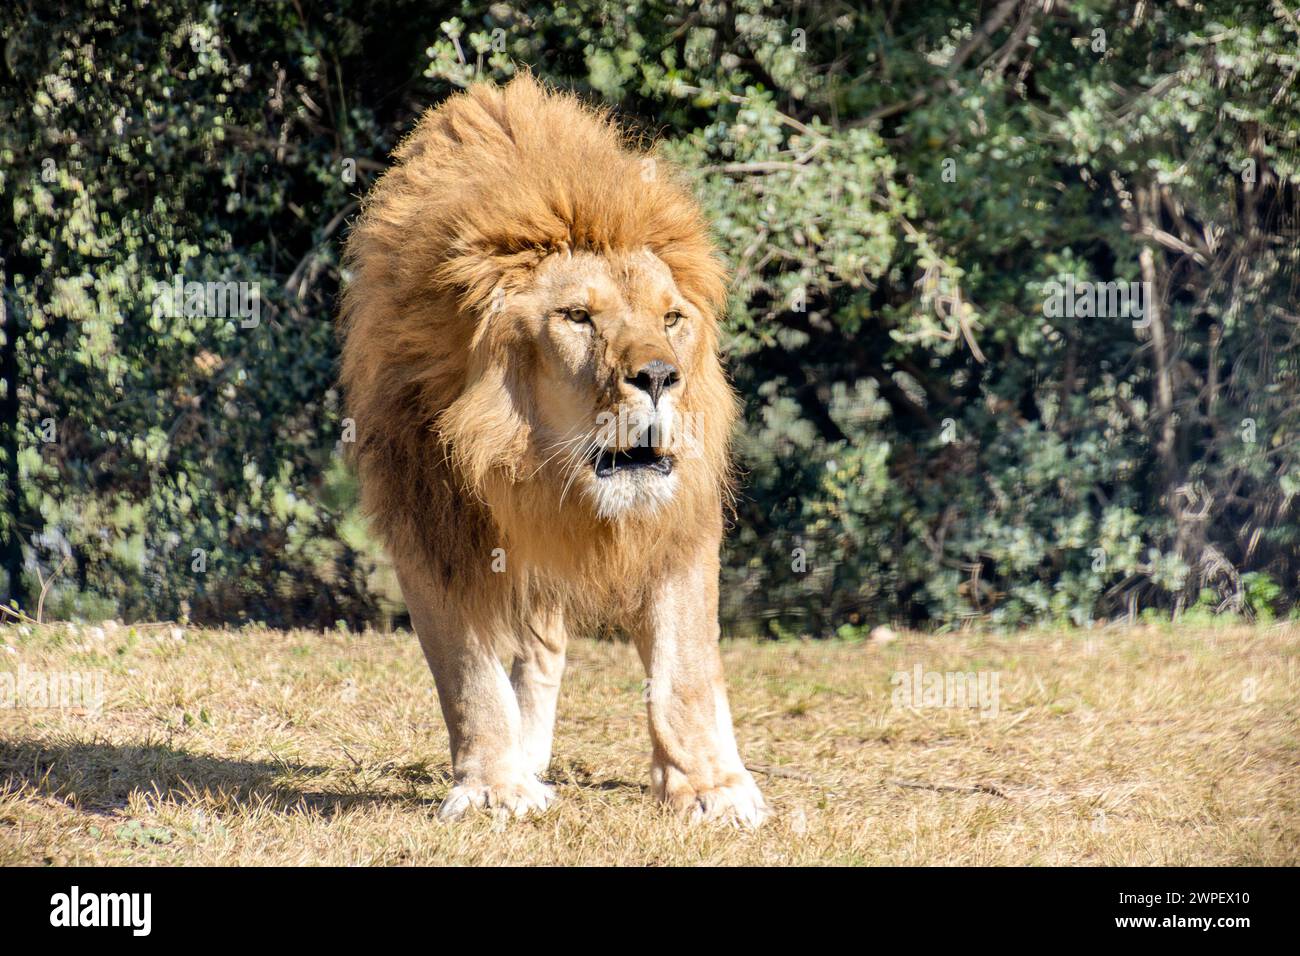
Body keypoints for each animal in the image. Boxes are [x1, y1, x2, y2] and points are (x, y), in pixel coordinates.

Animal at [338, 74, 767, 826]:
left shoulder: (678, 520)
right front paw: (495, 788)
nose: (660, 377)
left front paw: (709, 787)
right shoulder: (426, 517)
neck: (529, 462)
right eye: (577, 317)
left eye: (672, 318)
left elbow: (685, 664)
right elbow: (468, 672)